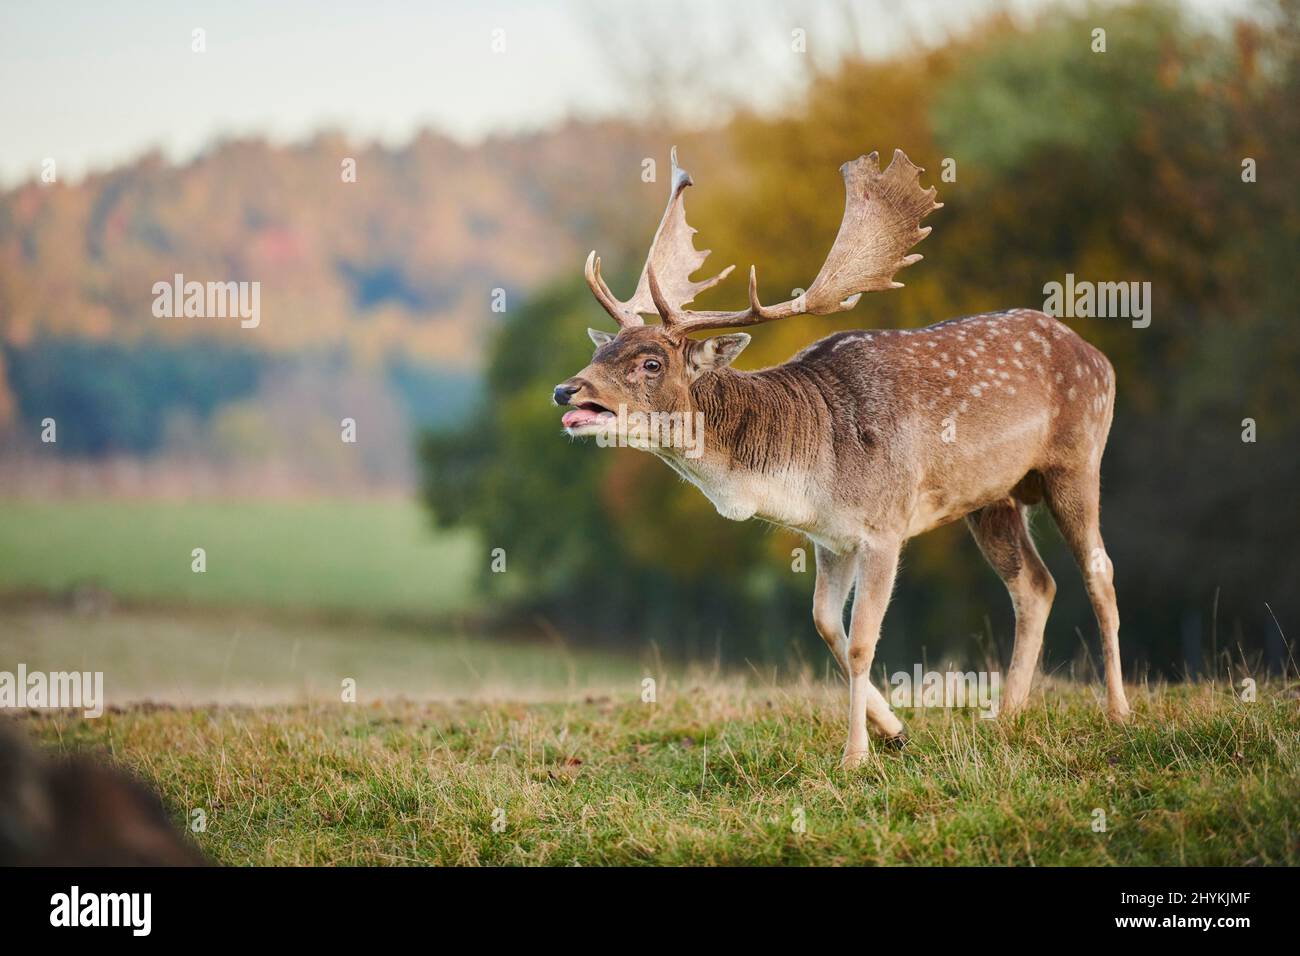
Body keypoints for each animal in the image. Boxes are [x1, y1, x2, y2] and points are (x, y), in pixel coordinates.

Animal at [553, 148, 1130, 766]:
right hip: (992, 499)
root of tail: (1100, 358)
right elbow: (826, 625)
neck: (809, 468)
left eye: (651, 362)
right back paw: (1007, 715)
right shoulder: (831, 537)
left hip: (1078, 458)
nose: (566, 391)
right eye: (601, 350)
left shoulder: (885, 524)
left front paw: (856, 756)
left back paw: (1118, 712)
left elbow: (861, 642)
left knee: (1100, 573)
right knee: (1036, 586)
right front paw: (895, 728)